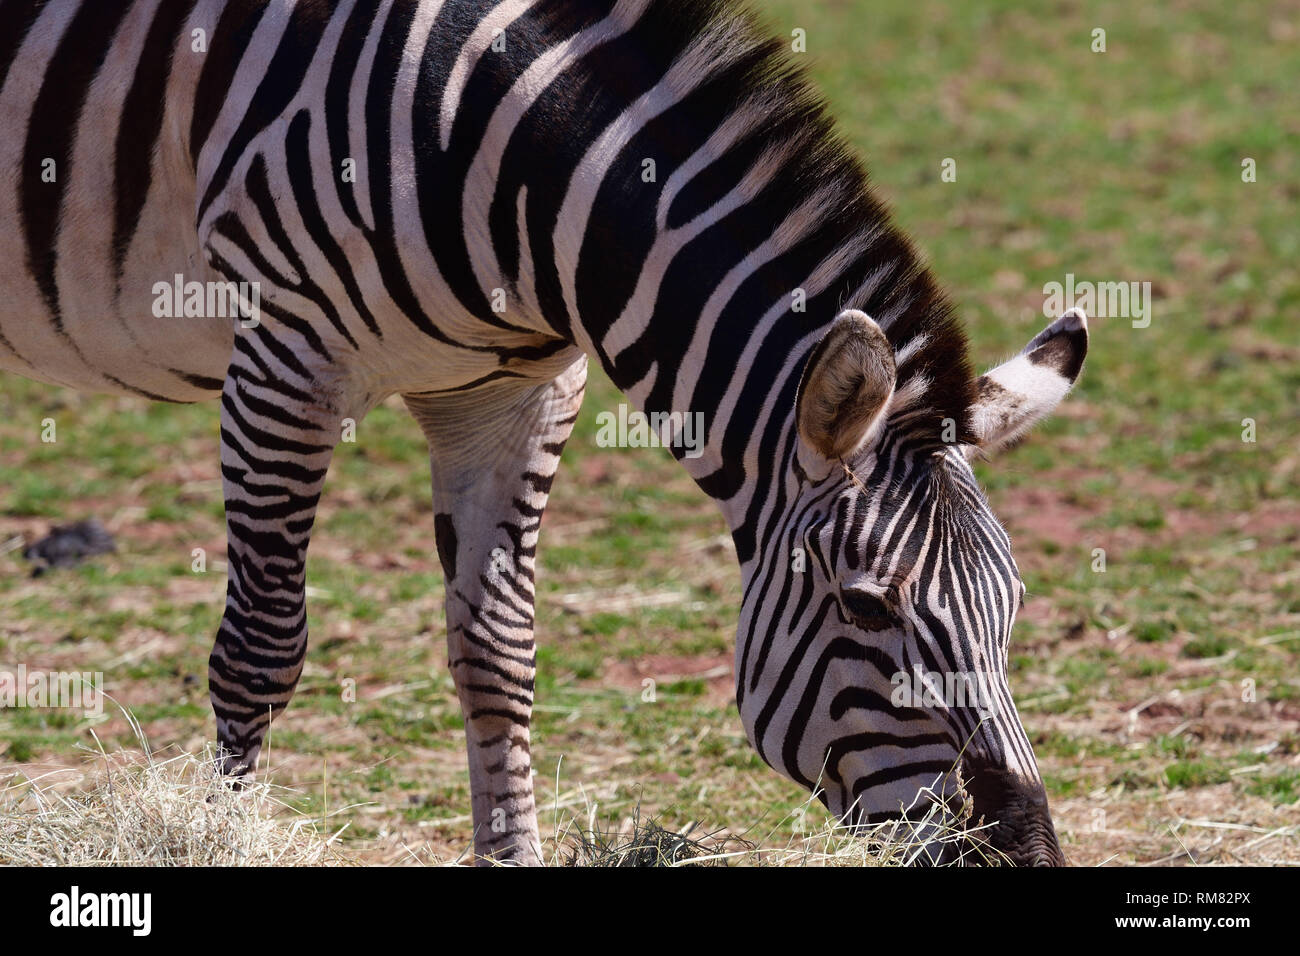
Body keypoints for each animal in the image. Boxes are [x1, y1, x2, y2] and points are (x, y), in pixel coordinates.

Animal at [0, 0, 1088, 866]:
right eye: (865, 607)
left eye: (1014, 606)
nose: (1026, 859)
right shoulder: (284, 358)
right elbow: (263, 644)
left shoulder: (515, 393)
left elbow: (497, 649)